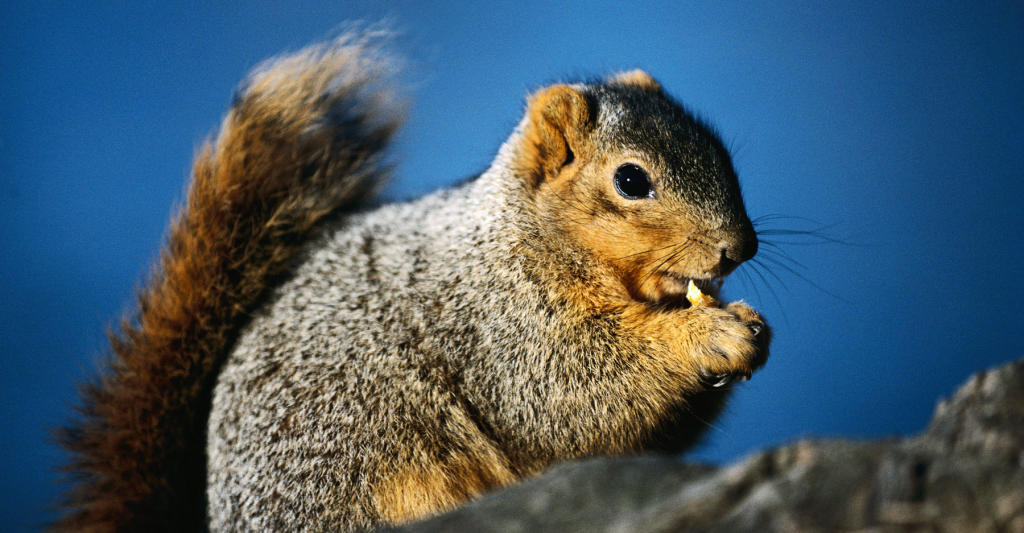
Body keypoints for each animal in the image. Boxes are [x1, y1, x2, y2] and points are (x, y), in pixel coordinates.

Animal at [58, 32, 769, 532]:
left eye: (720, 150)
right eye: (630, 180)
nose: (740, 247)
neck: (525, 236)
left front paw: (751, 330)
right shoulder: (499, 324)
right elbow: (573, 396)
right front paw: (712, 334)